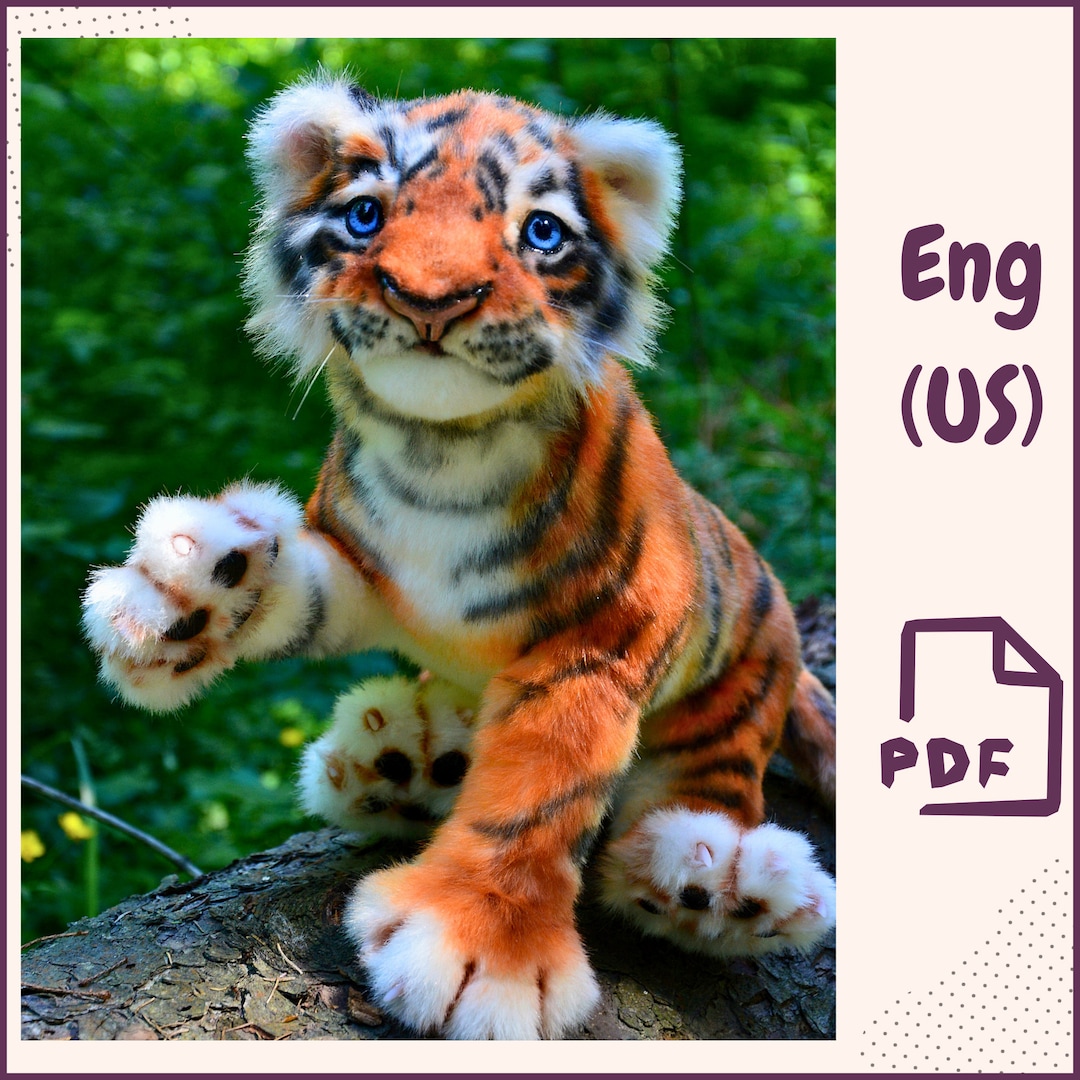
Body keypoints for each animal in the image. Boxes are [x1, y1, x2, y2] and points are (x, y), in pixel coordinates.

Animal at [81, 74, 837, 1040]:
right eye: (366, 214)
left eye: (540, 232)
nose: (429, 298)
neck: (439, 462)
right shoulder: (362, 562)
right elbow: (304, 586)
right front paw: (185, 590)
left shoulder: (606, 637)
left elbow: (542, 783)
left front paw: (480, 951)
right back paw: (402, 759)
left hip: (738, 680)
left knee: (717, 778)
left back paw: (718, 879)